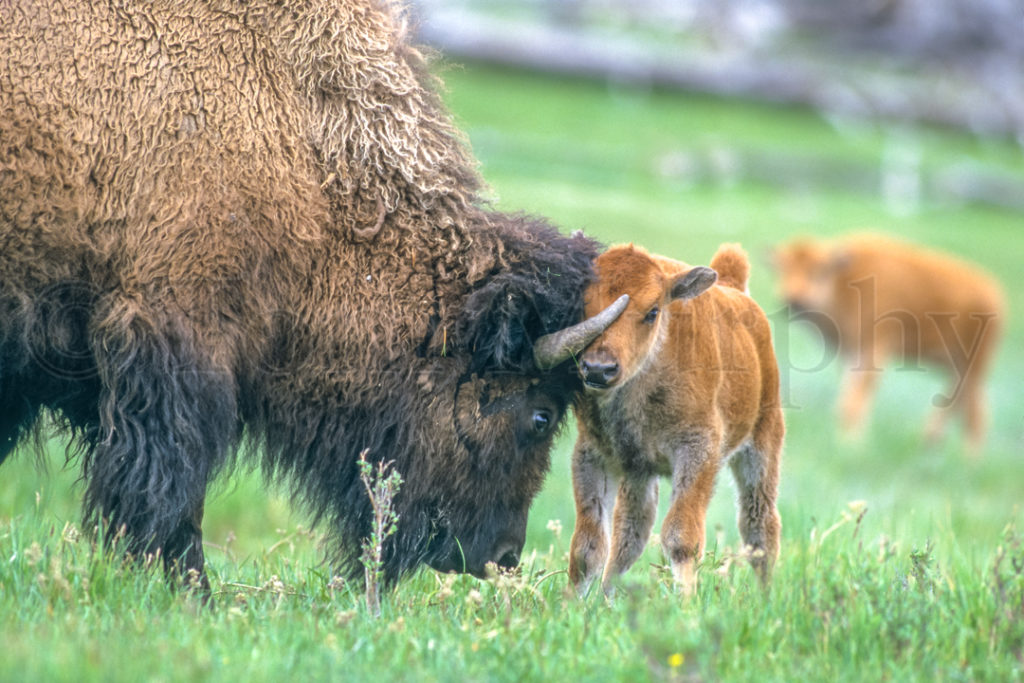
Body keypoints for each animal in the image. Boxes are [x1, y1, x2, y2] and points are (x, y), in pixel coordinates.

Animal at [568, 243, 784, 596]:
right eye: (583, 304)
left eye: (652, 311)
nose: (599, 369)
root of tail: (735, 289)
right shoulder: (596, 456)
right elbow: (588, 545)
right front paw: (571, 603)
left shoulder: (697, 451)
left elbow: (680, 535)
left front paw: (687, 602)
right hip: (638, 474)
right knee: (630, 534)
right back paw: (607, 595)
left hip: (762, 446)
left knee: (759, 526)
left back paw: (766, 599)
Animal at [770, 234, 1005, 454]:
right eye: (783, 270)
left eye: (819, 271)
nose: (794, 299)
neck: (844, 281)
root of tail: (994, 294)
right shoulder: (850, 354)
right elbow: (847, 399)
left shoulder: (874, 349)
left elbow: (855, 400)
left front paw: (852, 447)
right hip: (959, 366)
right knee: (967, 403)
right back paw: (933, 444)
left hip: (973, 363)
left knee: (974, 413)